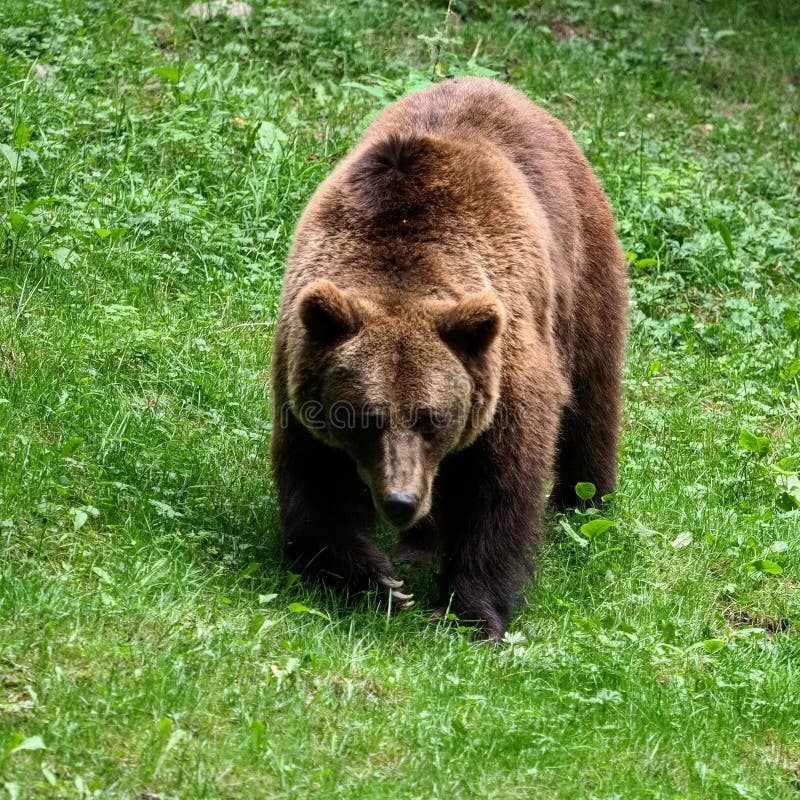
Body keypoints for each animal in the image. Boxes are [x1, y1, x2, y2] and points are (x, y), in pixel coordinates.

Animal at [270, 77, 627, 640]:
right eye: (362, 419)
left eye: (432, 418)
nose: (400, 501)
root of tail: (501, 87)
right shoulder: (302, 366)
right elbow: (313, 487)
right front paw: (380, 582)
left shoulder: (506, 370)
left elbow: (498, 492)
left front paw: (471, 611)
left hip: (581, 271)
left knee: (593, 394)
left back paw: (585, 499)